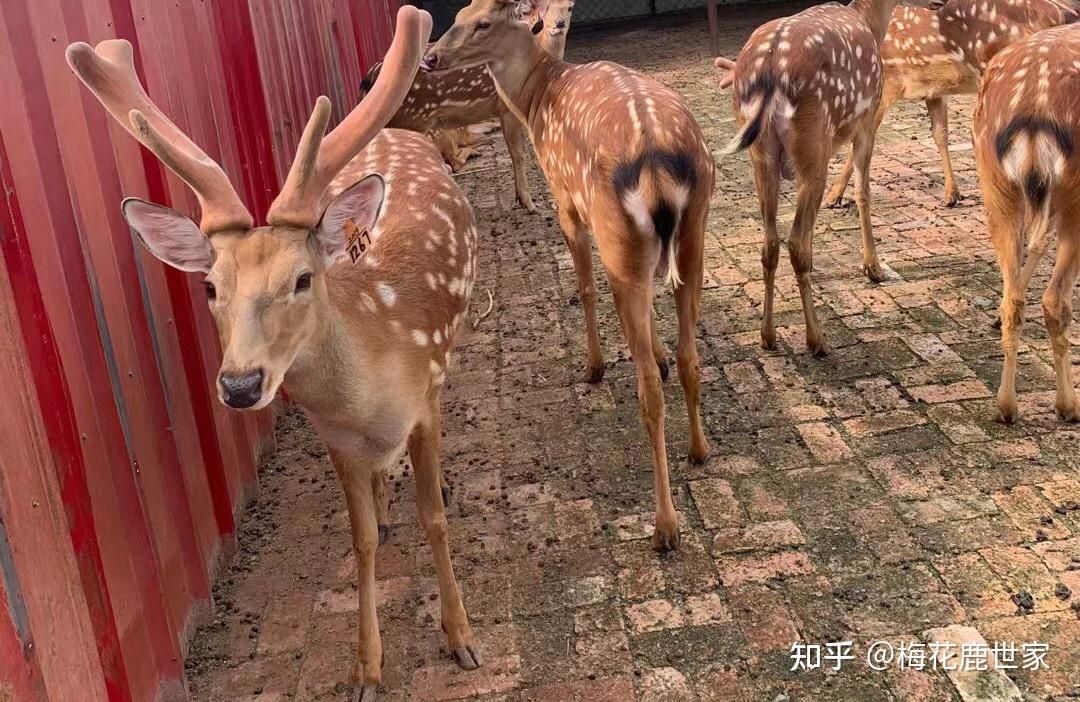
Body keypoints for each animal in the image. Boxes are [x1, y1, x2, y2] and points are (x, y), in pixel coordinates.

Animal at [65, 7, 485, 699]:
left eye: (302, 278)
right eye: (211, 286)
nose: (239, 385)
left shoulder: (424, 400)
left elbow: (434, 519)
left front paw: (461, 637)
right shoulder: (334, 437)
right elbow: (360, 539)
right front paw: (365, 668)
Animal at [361, 0, 576, 211]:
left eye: (569, 6)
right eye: (547, 8)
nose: (559, 24)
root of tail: (366, 83)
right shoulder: (506, 109)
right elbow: (519, 153)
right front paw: (529, 203)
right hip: (412, 120)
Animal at [424, 0, 714, 552]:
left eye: (482, 21)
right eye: (461, 11)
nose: (430, 57)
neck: (537, 97)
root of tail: (658, 167)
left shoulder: (566, 199)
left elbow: (583, 287)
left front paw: (593, 366)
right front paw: (659, 353)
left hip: (619, 234)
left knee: (648, 388)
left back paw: (665, 525)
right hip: (692, 235)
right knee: (693, 355)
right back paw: (700, 449)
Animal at [721, 0, 898, 357]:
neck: (871, 24)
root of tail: (771, 66)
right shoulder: (868, 117)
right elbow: (863, 191)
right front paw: (873, 268)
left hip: (761, 155)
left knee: (770, 243)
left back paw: (768, 336)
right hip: (814, 145)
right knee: (796, 243)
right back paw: (817, 339)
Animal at [973, 23, 1080, 425]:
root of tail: (1034, 106)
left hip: (995, 183)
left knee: (1014, 298)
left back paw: (1006, 406)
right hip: (1073, 193)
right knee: (1054, 300)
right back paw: (1068, 406)